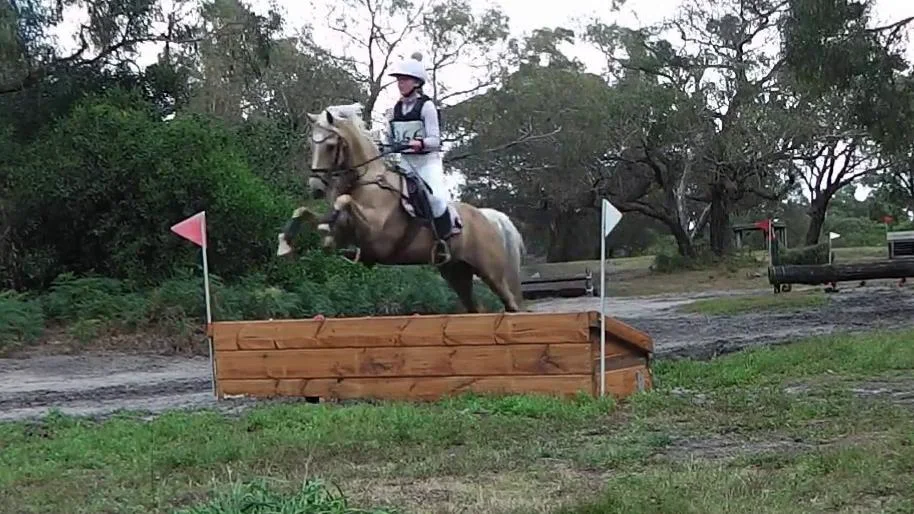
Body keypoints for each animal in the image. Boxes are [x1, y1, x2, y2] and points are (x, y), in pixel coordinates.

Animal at [275, 102, 527, 313]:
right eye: (311, 144)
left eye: (329, 146)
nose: (316, 188)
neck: (367, 180)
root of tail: (486, 217)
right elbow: (305, 212)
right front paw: (286, 244)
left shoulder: (377, 235)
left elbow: (343, 201)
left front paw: (325, 232)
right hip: (456, 272)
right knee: (477, 309)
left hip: (491, 272)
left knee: (511, 304)